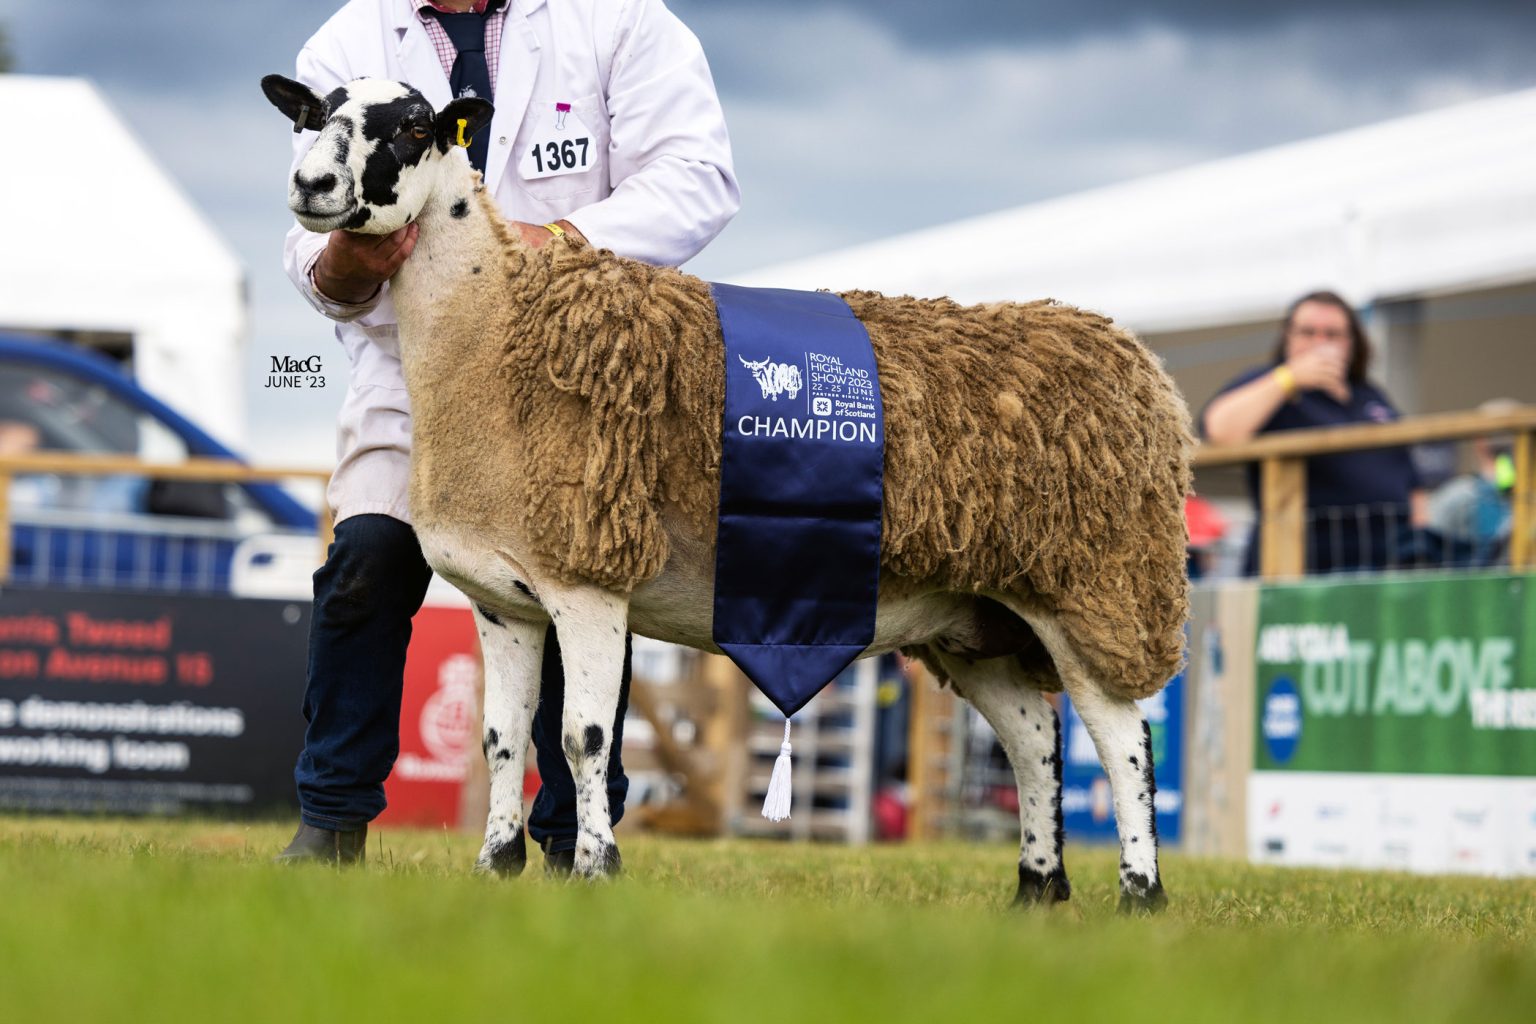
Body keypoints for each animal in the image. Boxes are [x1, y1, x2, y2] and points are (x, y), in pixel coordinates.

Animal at [263, 75, 1193, 911]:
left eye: (414, 128)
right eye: (315, 115)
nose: (310, 187)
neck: (494, 336)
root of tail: (1136, 365)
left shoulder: (587, 579)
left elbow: (581, 737)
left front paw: (596, 871)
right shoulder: (505, 599)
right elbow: (500, 741)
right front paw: (496, 869)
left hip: (1096, 586)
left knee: (1124, 740)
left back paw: (1140, 894)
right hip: (980, 615)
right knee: (1037, 743)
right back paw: (1038, 891)